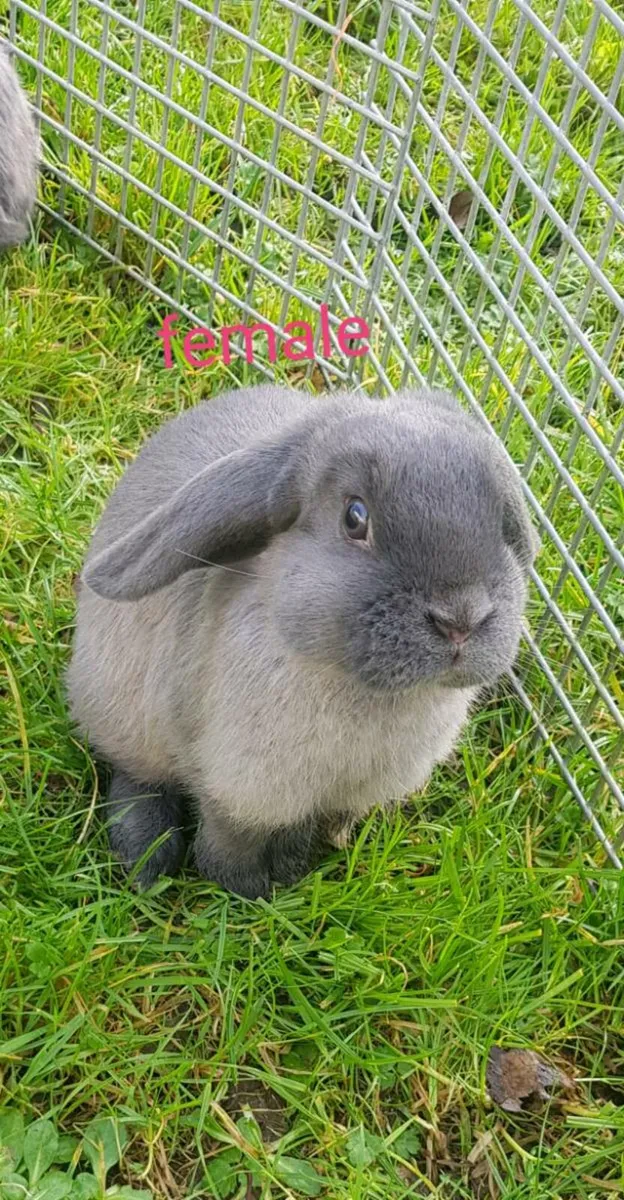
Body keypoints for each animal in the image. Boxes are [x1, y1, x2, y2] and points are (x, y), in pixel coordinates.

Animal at [67, 383, 538, 898]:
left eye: (502, 521)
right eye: (354, 518)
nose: (460, 619)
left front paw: (300, 867)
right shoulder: (237, 786)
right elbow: (229, 842)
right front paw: (250, 891)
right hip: (125, 719)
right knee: (137, 776)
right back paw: (146, 862)